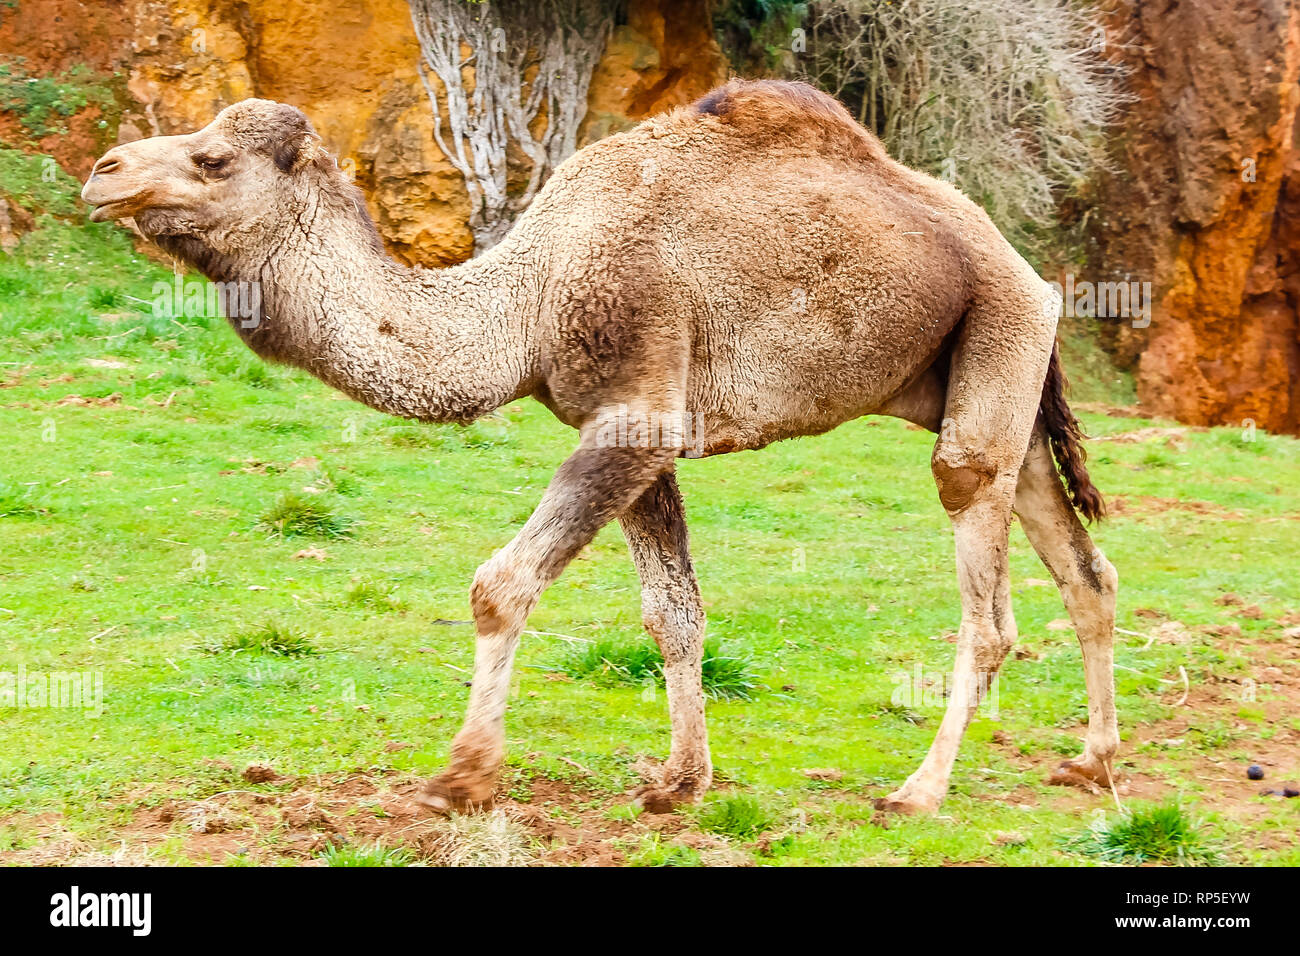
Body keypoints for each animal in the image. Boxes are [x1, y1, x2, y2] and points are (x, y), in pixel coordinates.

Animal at [81, 79, 1119, 816]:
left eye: (212, 158)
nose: (102, 170)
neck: (526, 301)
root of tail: (1029, 269)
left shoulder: (635, 410)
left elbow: (500, 584)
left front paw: (461, 780)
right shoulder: (642, 434)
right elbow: (674, 613)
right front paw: (680, 783)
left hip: (994, 348)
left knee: (988, 600)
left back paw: (918, 792)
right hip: (1001, 386)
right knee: (1086, 569)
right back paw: (1093, 762)